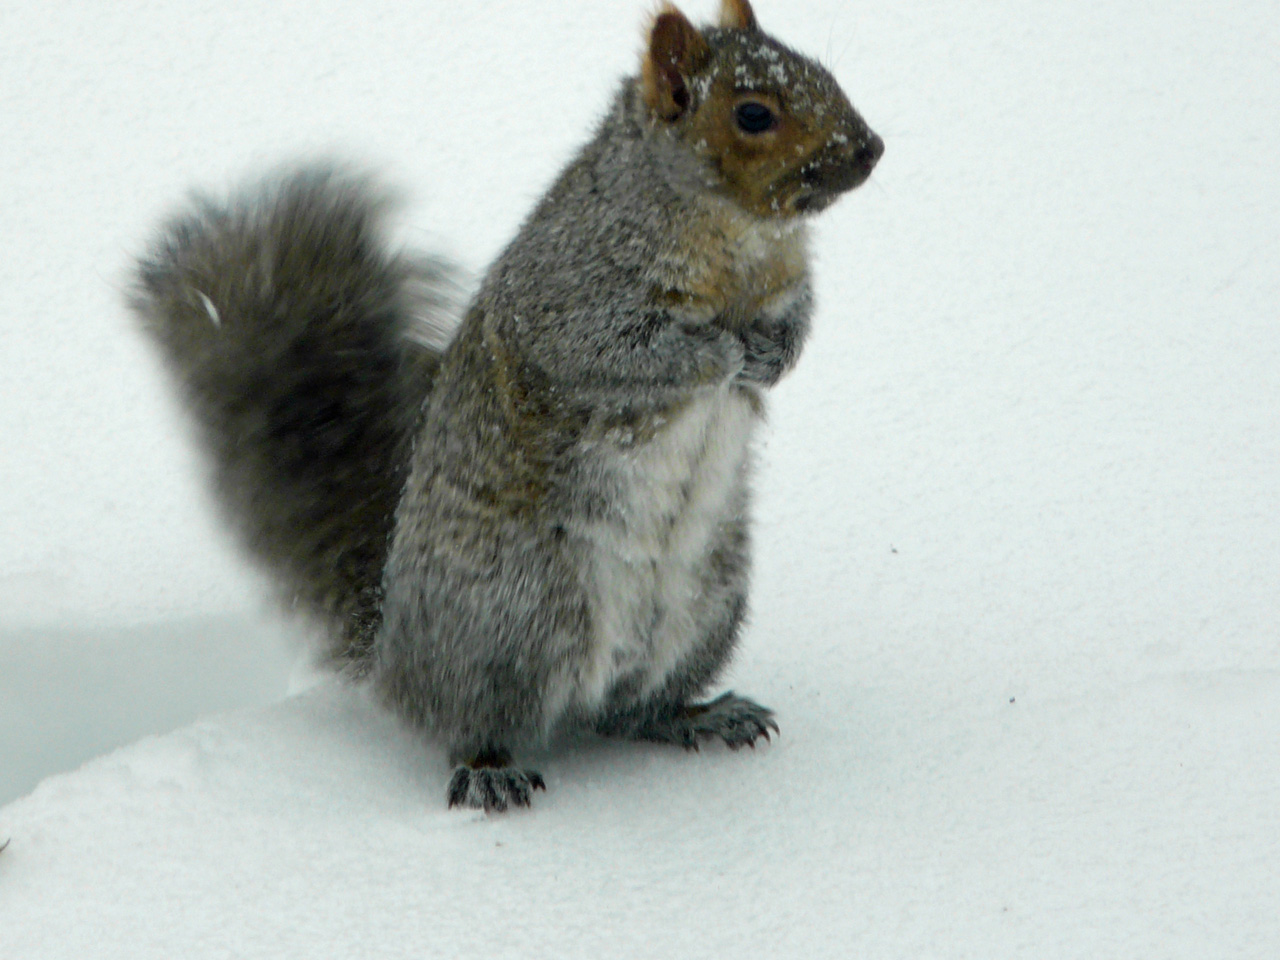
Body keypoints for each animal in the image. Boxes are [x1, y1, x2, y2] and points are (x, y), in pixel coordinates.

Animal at [130, 0, 882, 812]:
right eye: (752, 114)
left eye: (820, 70)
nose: (871, 149)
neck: (743, 236)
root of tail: (393, 656)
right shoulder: (569, 298)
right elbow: (623, 352)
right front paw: (723, 355)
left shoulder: (784, 282)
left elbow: (797, 319)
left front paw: (773, 355)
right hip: (512, 620)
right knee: (476, 720)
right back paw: (490, 770)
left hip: (707, 606)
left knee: (631, 711)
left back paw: (698, 715)